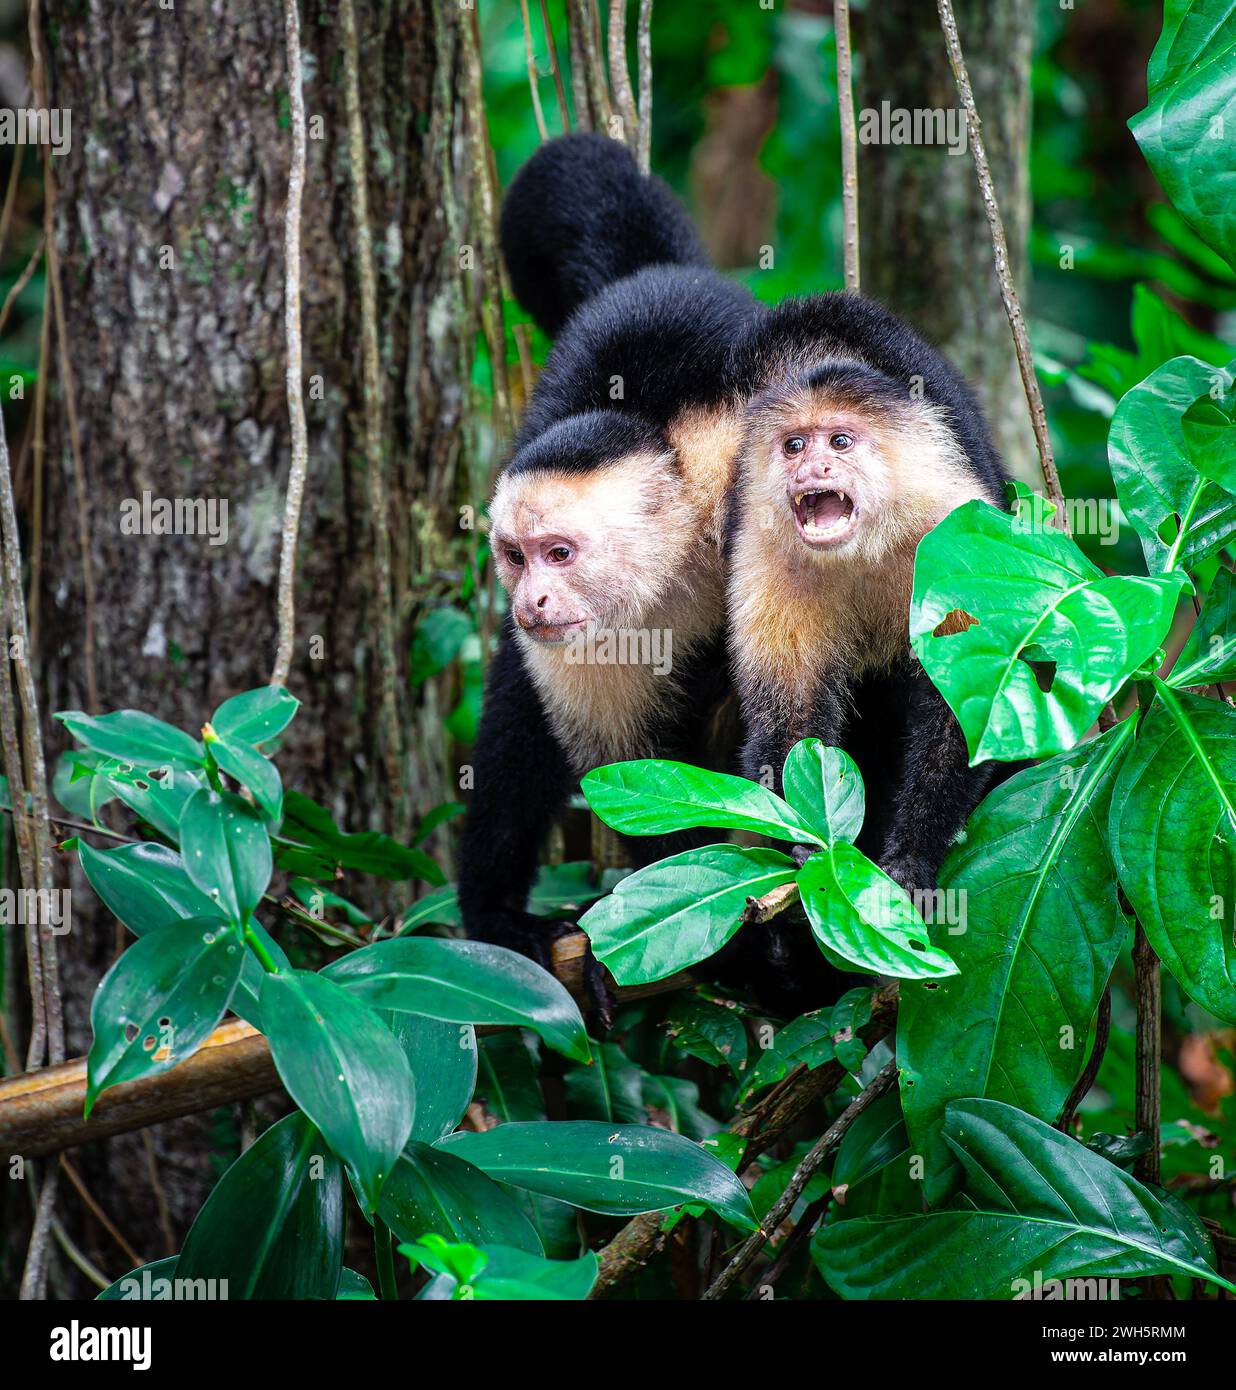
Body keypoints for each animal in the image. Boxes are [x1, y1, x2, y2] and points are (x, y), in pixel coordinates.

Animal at [457, 134, 764, 1017]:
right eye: (517, 555)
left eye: (561, 553)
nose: (532, 597)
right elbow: (636, 772)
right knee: (518, 706)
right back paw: (497, 917)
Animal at [727, 292, 1009, 900]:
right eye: (793, 445)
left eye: (839, 441)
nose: (812, 467)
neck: (863, 545)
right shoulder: (763, 551)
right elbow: (792, 712)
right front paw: (808, 840)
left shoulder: (952, 524)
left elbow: (965, 704)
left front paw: (911, 855)